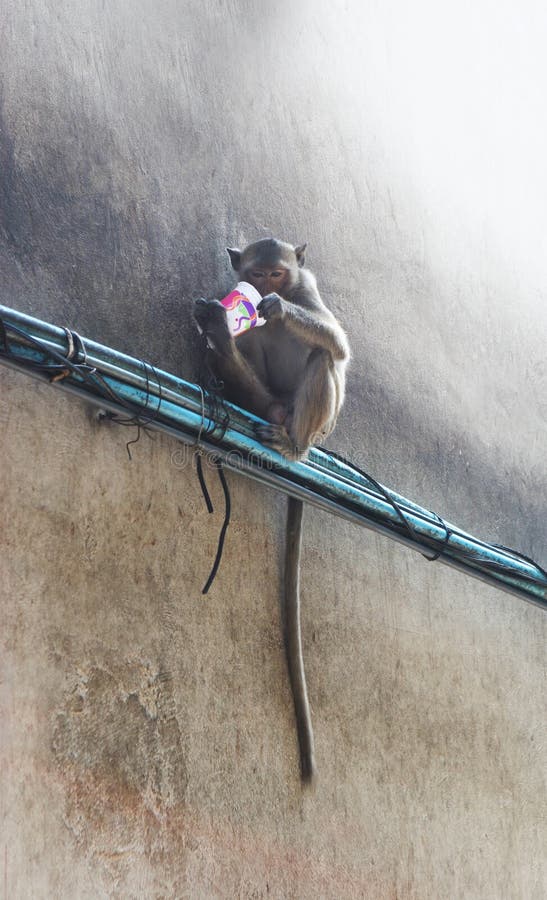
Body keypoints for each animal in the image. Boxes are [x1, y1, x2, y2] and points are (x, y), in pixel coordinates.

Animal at [194, 238, 349, 782]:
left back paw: (292, 443)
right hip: (269, 395)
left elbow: (337, 344)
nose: (263, 291)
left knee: (323, 356)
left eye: (278, 274)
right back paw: (231, 352)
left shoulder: (309, 288)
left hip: (318, 421)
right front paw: (223, 322)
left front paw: (276, 309)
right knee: (253, 353)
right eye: (255, 274)